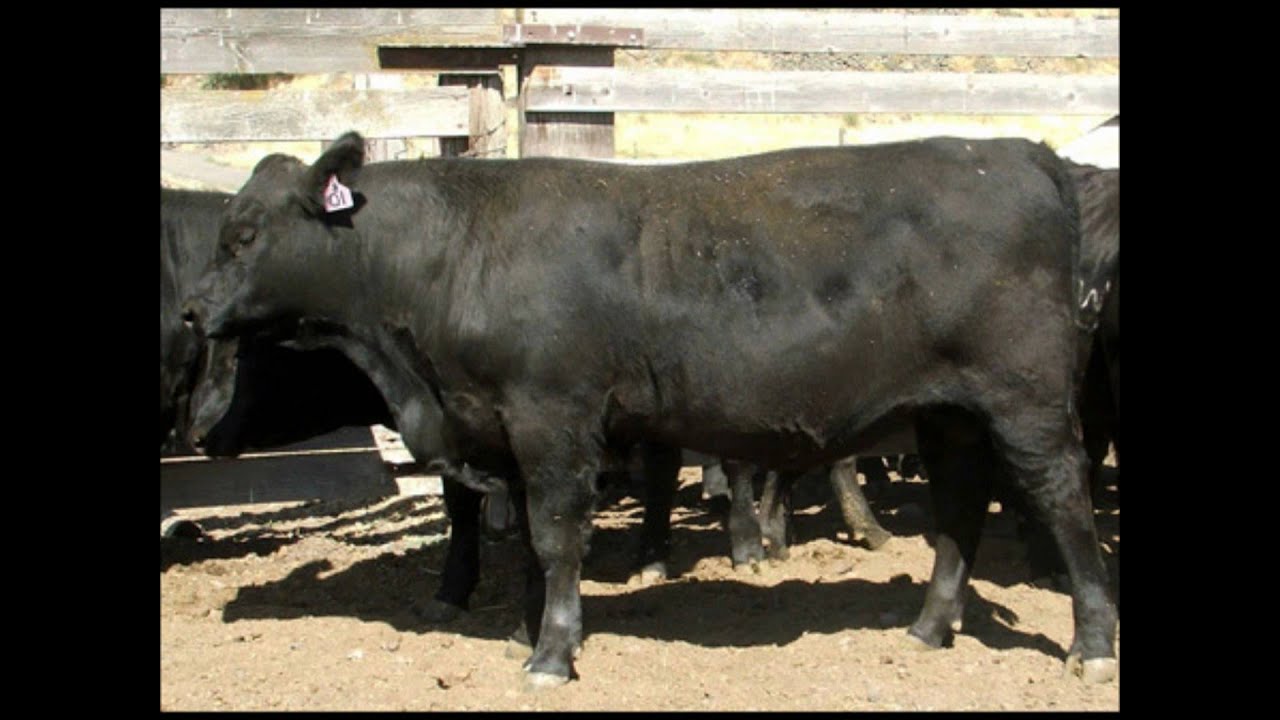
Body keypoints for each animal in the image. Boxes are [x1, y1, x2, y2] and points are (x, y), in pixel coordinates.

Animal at [182, 132, 1118, 687]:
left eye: (243, 234)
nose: (192, 309)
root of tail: (1017, 152)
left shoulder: (552, 420)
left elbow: (557, 537)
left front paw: (552, 653)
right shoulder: (506, 432)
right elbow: (529, 545)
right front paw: (530, 631)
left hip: (1027, 403)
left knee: (1065, 503)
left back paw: (1091, 644)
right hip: (948, 414)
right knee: (960, 508)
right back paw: (928, 628)